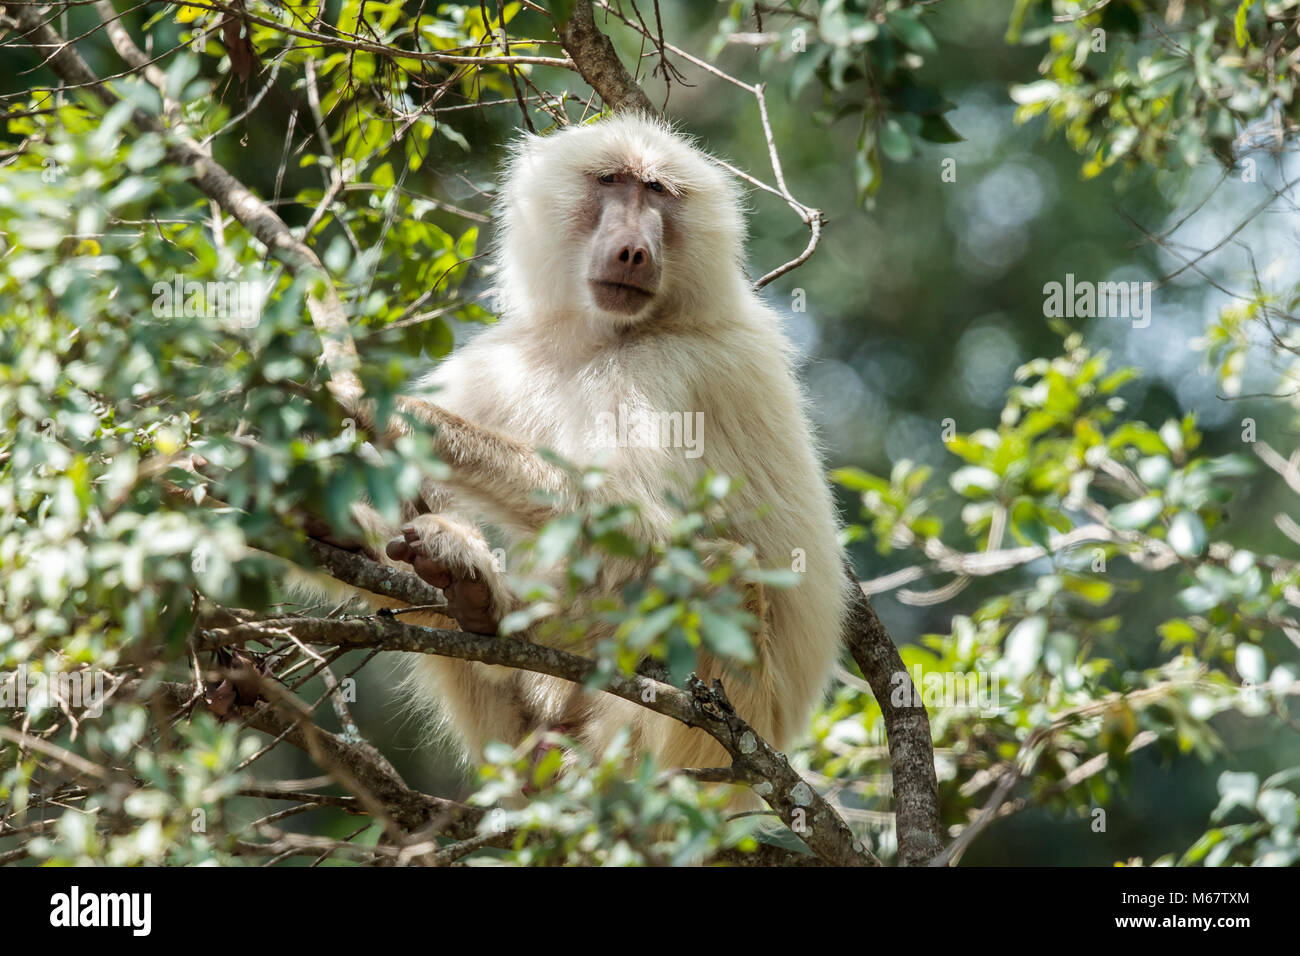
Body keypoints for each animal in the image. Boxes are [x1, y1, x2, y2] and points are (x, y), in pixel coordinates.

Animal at [311, 113, 850, 782]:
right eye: (612, 181)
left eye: (657, 192)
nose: (634, 250)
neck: (597, 339)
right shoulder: (504, 360)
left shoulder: (673, 369)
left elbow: (647, 532)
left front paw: (390, 411)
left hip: (717, 735)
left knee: (715, 571)